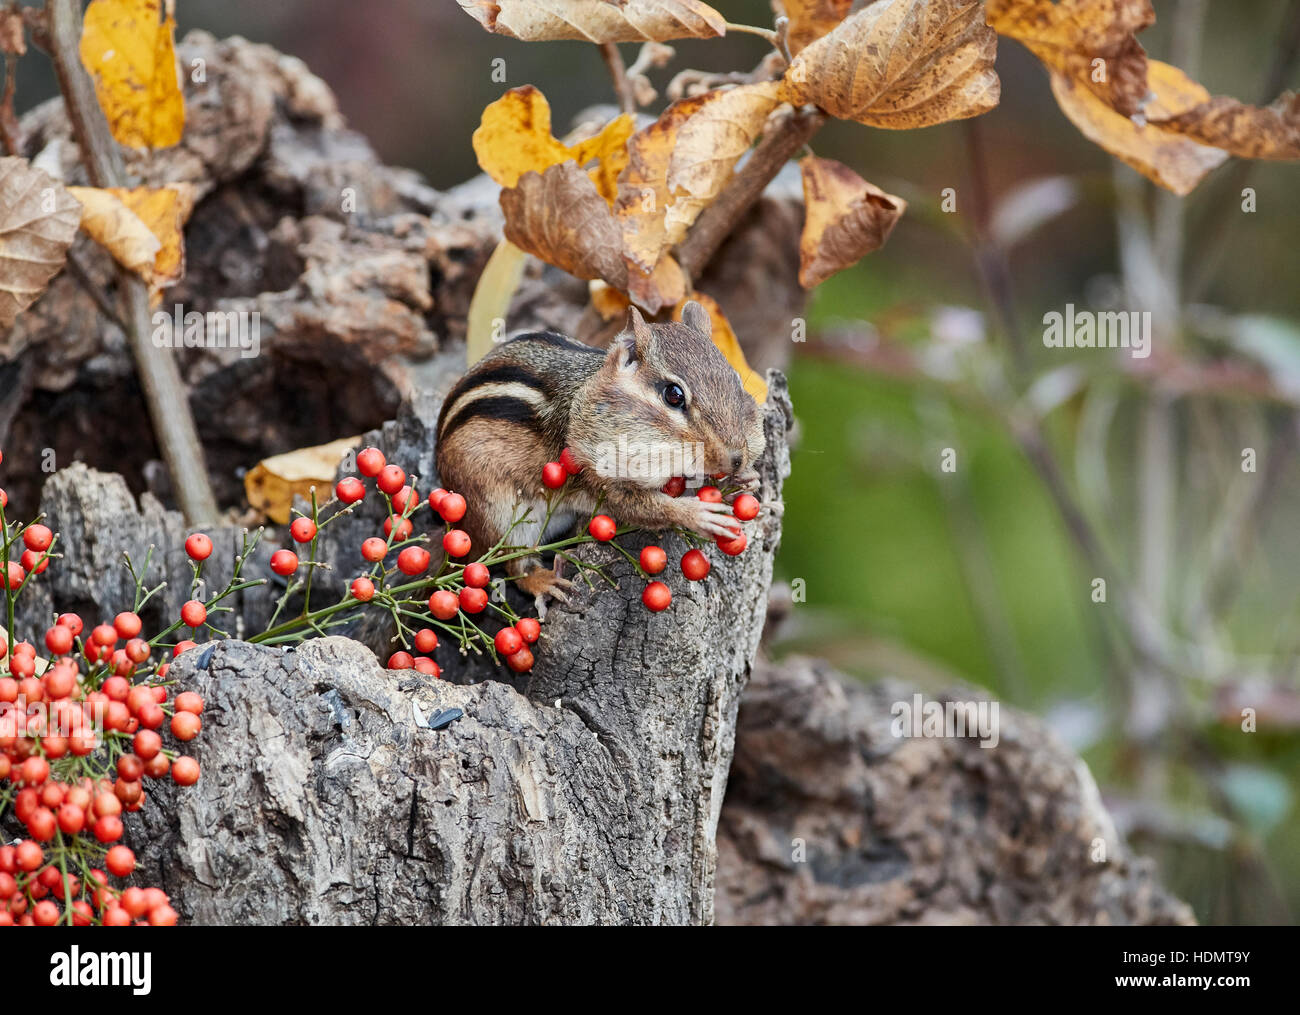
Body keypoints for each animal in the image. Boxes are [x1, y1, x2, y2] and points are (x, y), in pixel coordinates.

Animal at [435, 301, 765, 603]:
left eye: (737, 382)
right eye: (673, 395)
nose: (735, 459)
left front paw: (747, 480)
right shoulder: (600, 475)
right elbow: (644, 507)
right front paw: (698, 514)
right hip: (498, 514)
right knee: (514, 565)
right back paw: (546, 580)